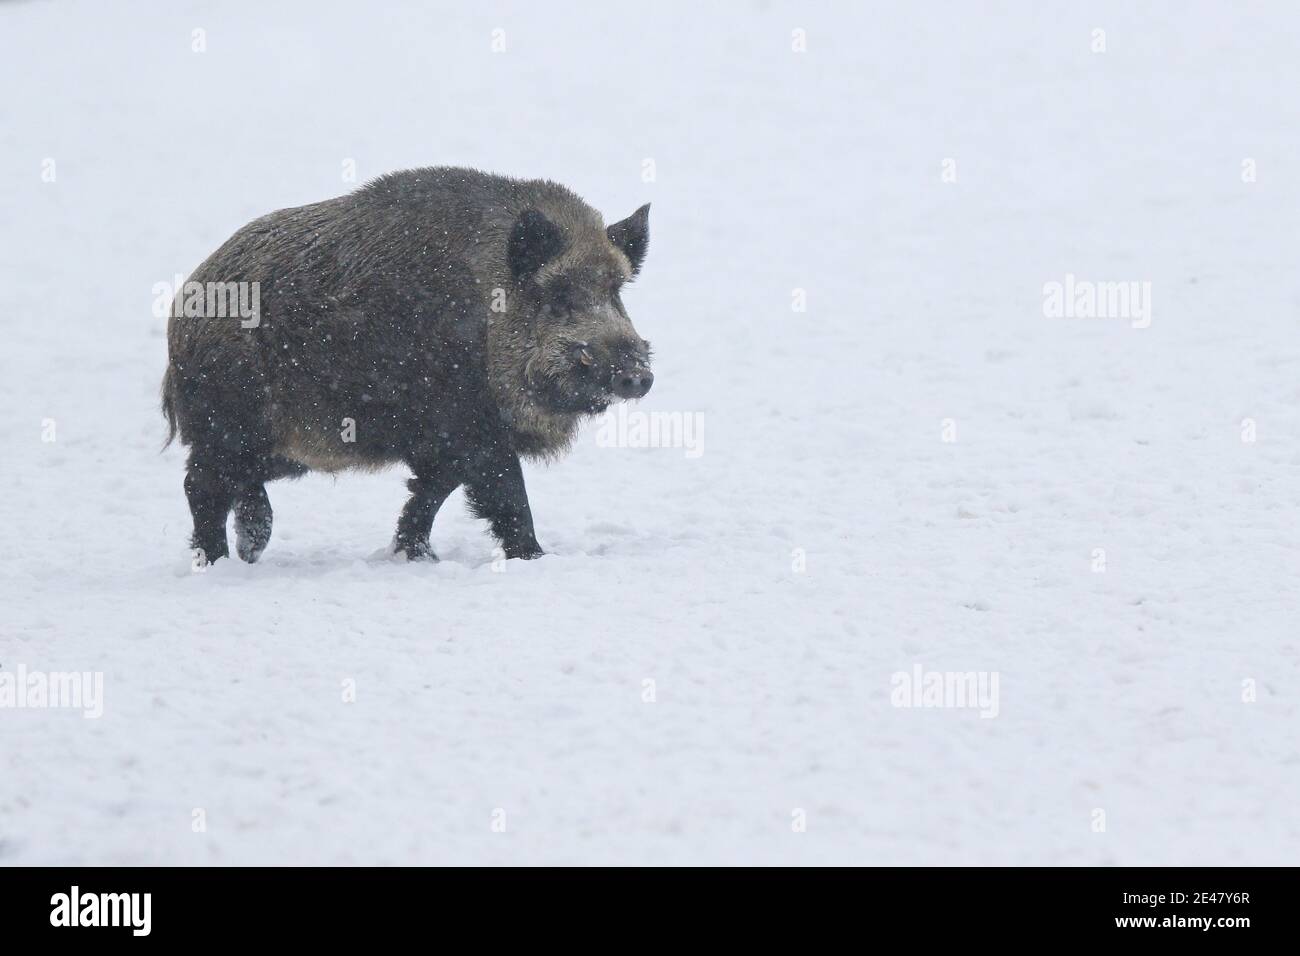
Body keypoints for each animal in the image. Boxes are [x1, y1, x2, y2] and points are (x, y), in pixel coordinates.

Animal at [161, 167, 653, 565]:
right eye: (559, 295)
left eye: (616, 291)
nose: (638, 375)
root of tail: (182, 310)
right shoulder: (472, 429)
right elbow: (507, 496)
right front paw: (534, 558)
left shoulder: (441, 443)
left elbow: (431, 492)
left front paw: (415, 555)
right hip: (231, 423)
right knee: (201, 485)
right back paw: (219, 563)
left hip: (277, 447)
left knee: (236, 483)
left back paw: (251, 548)